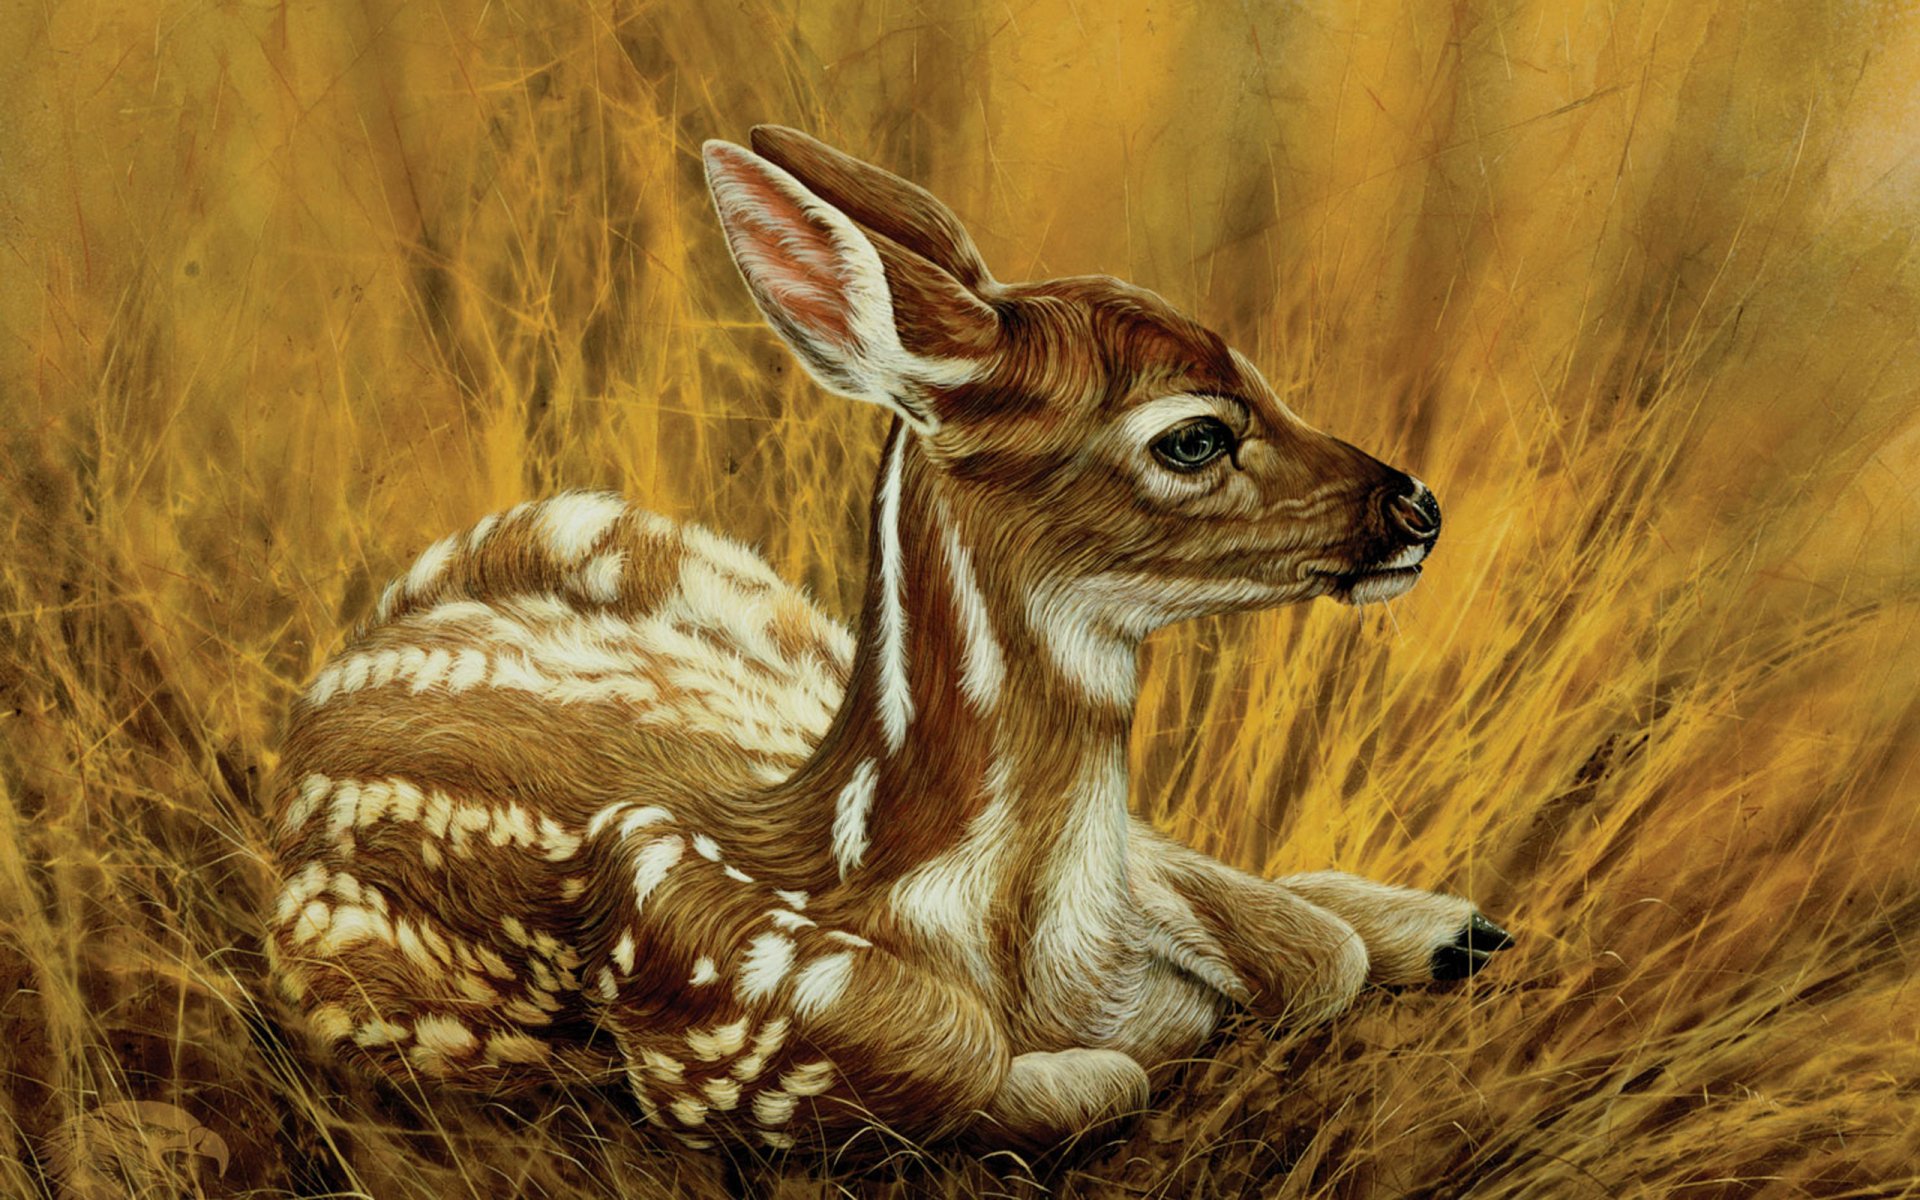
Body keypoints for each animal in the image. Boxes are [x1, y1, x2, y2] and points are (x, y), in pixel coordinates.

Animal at [263, 125, 1513, 1156]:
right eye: (1195, 436)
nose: (1416, 505)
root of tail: (353, 658)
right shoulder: (747, 1015)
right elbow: (1069, 1074)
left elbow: (1308, 953)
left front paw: (1435, 931)